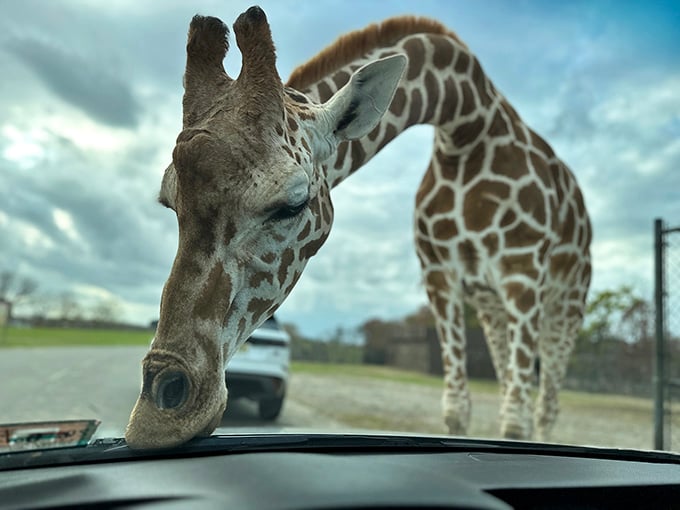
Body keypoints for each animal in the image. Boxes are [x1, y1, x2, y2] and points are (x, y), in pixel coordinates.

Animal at [125, 6, 591, 449]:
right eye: (170, 202)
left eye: (293, 203)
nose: (157, 418)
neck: (465, 128)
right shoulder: (441, 278)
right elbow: (457, 408)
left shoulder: (522, 273)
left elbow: (516, 419)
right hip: (491, 305)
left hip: (563, 304)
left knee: (546, 403)